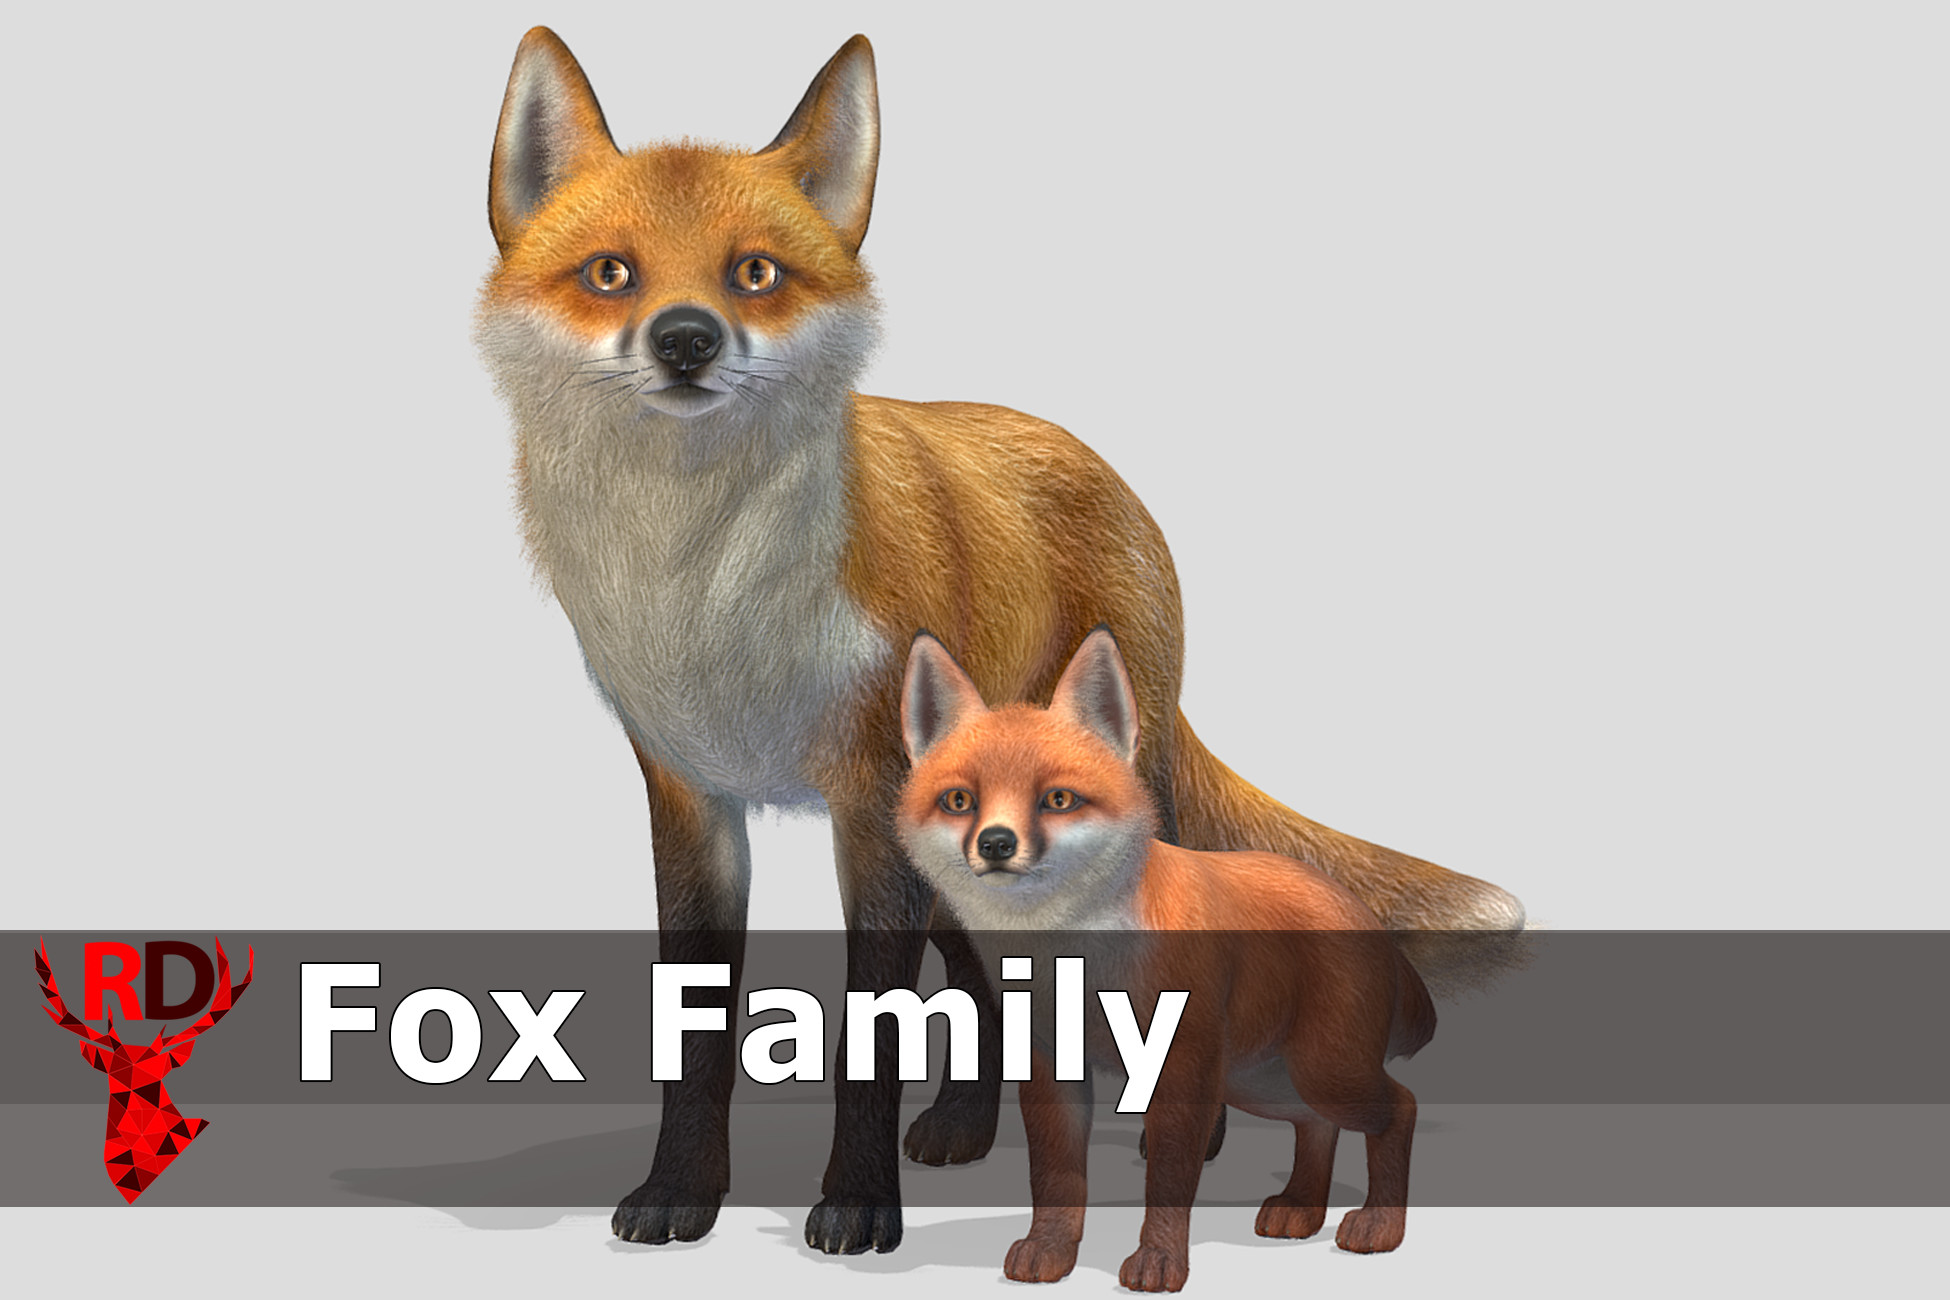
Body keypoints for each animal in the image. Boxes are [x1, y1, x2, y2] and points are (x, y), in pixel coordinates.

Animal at [897, 627, 1436, 1290]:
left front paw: (1159, 1261)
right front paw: (1050, 1250)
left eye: (1057, 799)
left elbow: (1170, 1182)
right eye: (959, 800)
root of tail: (1352, 903)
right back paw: (1303, 1208)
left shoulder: (1181, 1072)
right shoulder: (1053, 1067)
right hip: (1265, 1082)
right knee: (1316, 1125)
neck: (1081, 961)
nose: (996, 843)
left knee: (1400, 1107)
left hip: (1322, 1071)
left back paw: (1380, 1224)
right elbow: (1056, 1176)